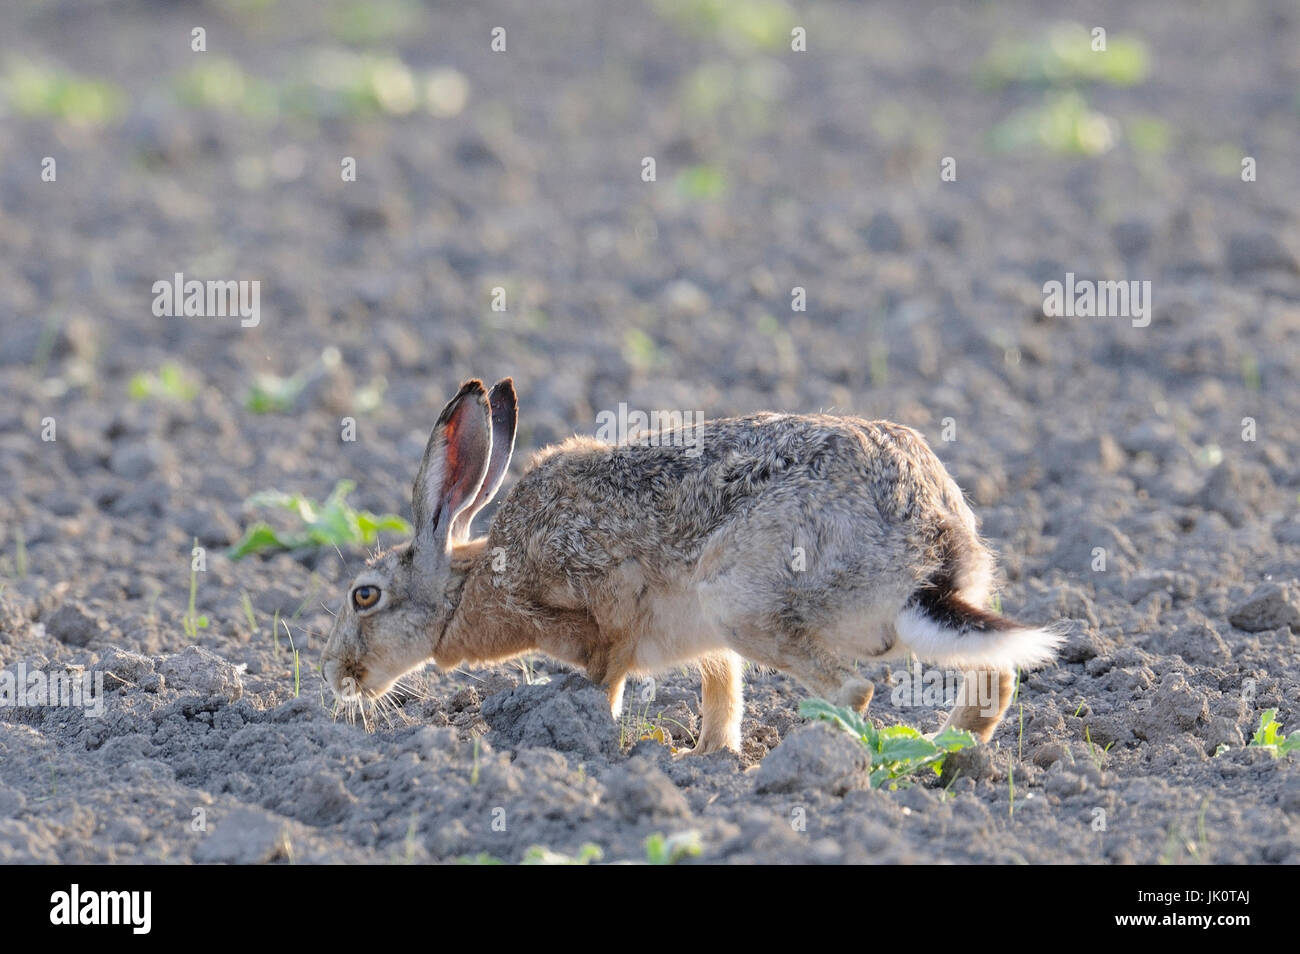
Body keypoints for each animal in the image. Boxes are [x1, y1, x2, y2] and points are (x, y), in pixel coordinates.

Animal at [321, 377, 1063, 754]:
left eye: (365, 596)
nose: (333, 674)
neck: (475, 581)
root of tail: (928, 549)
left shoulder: (607, 607)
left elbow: (608, 681)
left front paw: (598, 739)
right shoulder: (704, 646)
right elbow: (721, 690)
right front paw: (708, 756)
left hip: (743, 601)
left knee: (853, 690)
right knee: (995, 680)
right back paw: (945, 751)